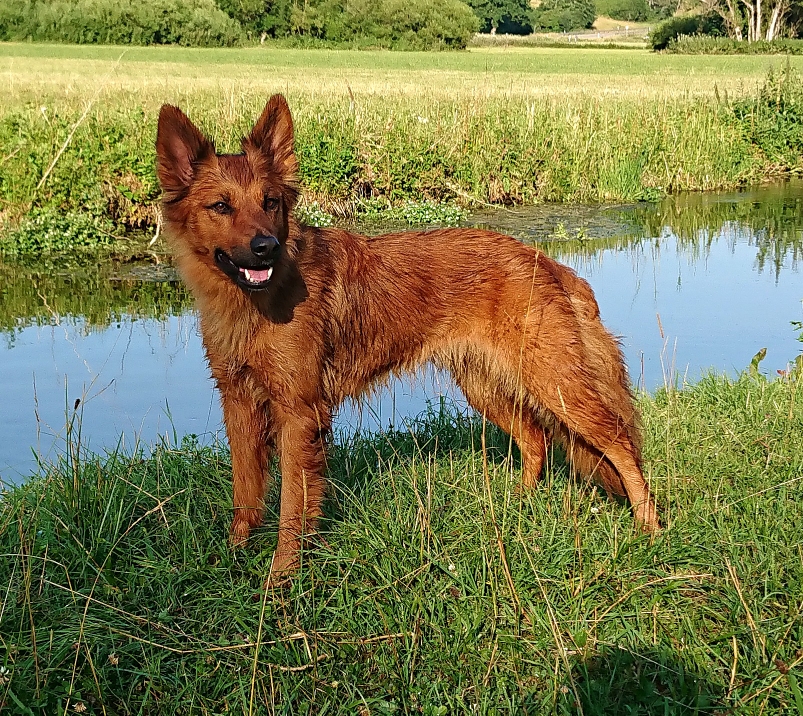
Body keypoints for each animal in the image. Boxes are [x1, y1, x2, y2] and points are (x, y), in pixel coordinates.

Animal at [155, 94, 659, 583]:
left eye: (271, 202)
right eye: (221, 206)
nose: (266, 248)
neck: (257, 300)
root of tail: (542, 258)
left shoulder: (298, 413)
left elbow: (292, 507)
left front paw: (281, 577)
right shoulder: (239, 404)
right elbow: (245, 491)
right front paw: (234, 555)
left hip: (554, 381)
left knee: (618, 441)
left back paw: (649, 525)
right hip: (484, 386)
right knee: (535, 438)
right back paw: (517, 505)